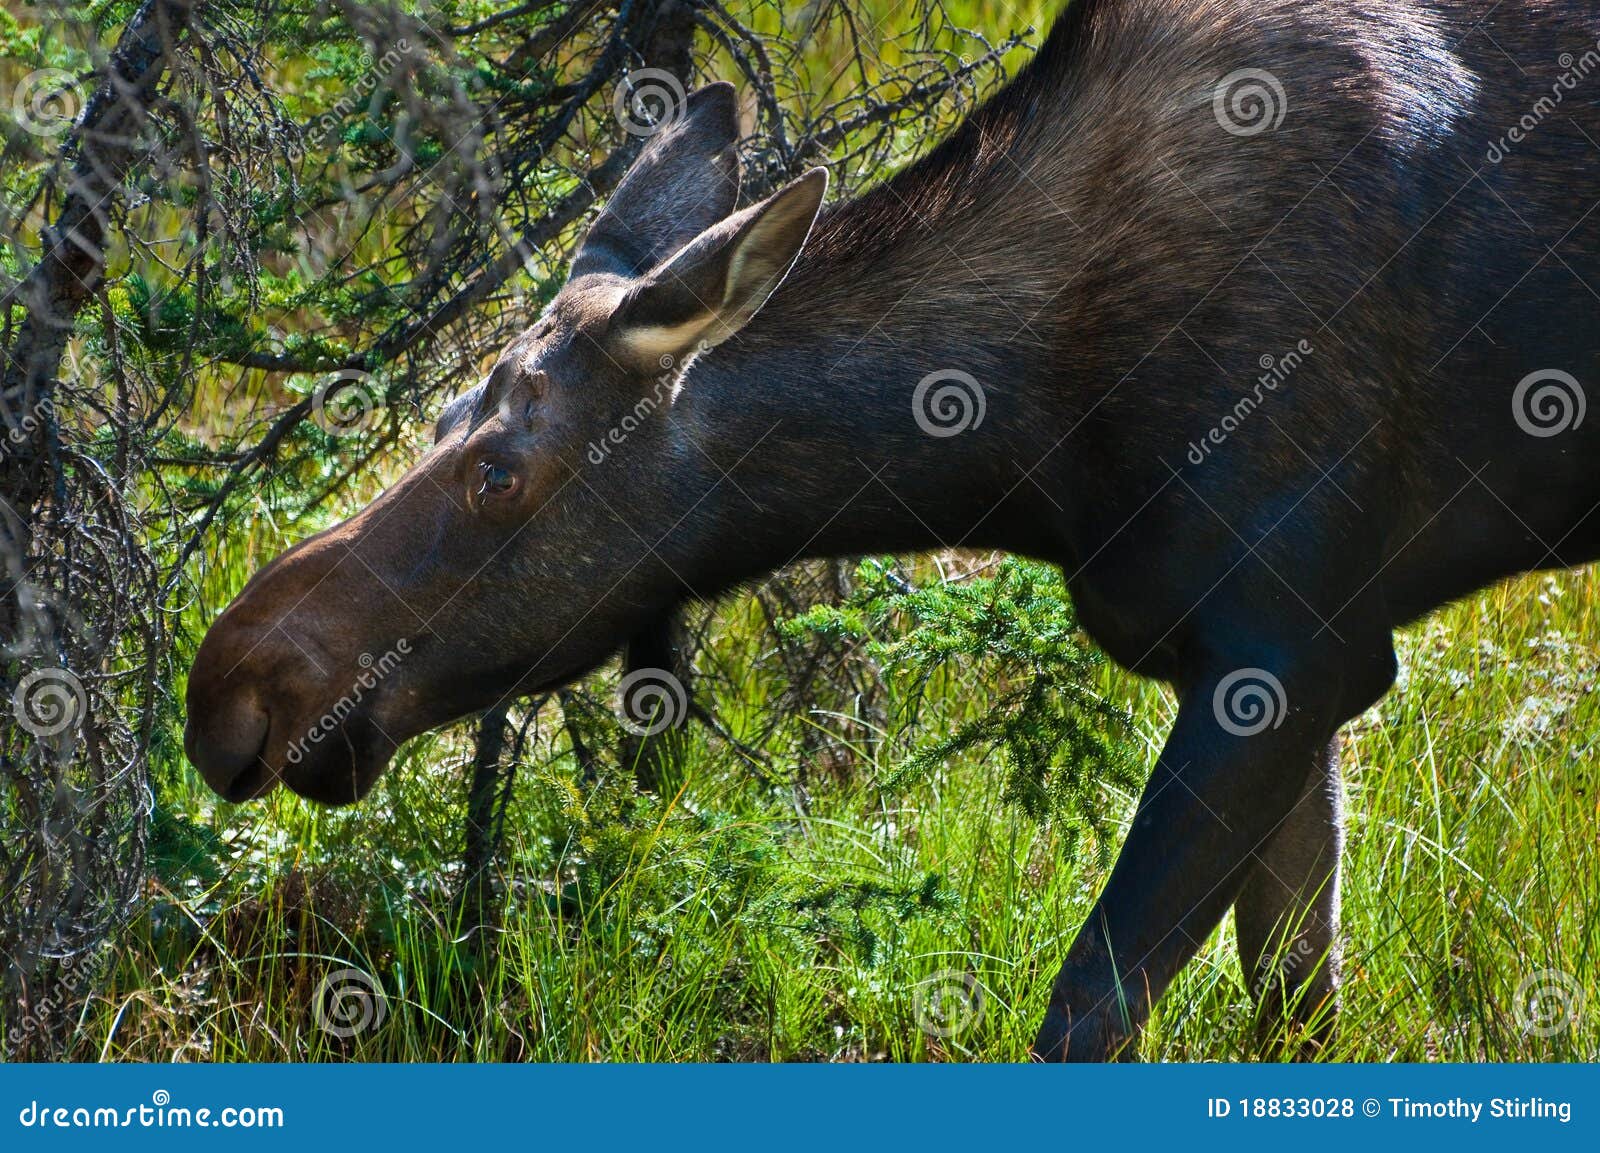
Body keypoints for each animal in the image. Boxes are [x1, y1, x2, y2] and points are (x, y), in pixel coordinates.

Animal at [184, 0, 1600, 1059]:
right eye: (433, 420)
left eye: (496, 474)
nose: (230, 686)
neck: (1031, 443)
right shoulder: (1292, 665)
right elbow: (1298, 1003)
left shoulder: (1288, 646)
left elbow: (1088, 1015)